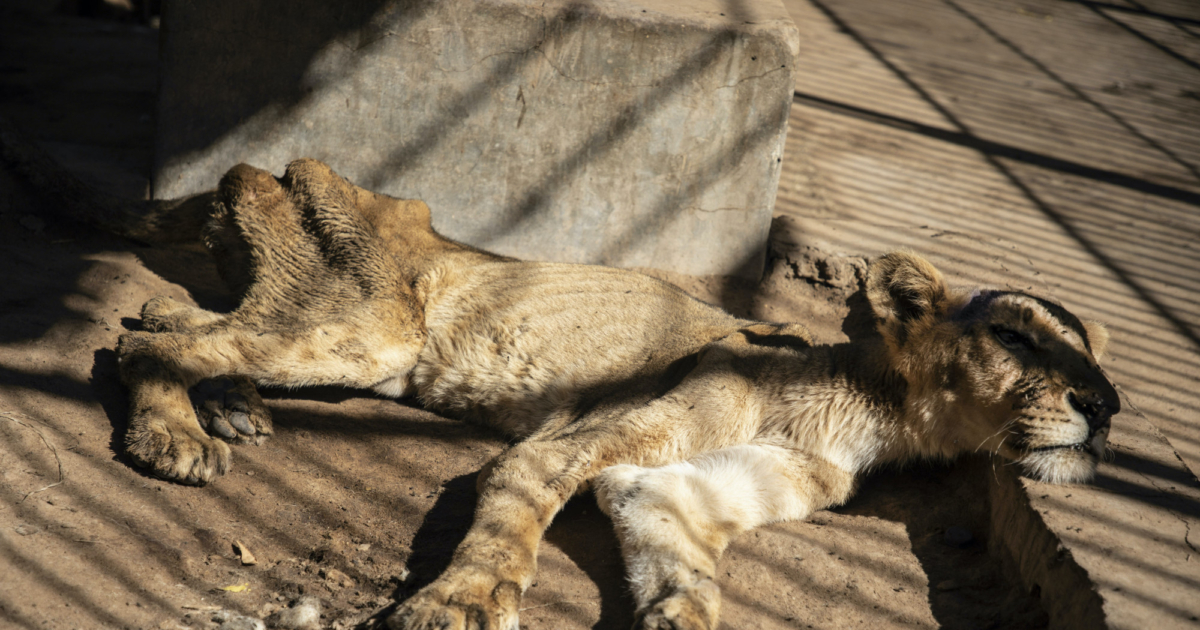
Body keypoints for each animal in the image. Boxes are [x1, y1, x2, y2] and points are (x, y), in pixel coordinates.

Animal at [1, 141, 1118, 629]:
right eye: (1017, 337)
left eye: (1099, 350)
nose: (1107, 409)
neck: (867, 413)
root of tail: (271, 170)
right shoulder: (572, 446)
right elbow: (513, 521)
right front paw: (457, 604)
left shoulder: (668, 485)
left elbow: (684, 570)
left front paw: (679, 617)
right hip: (361, 331)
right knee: (142, 345)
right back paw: (179, 437)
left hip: (333, 333)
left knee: (161, 320)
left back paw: (228, 406)